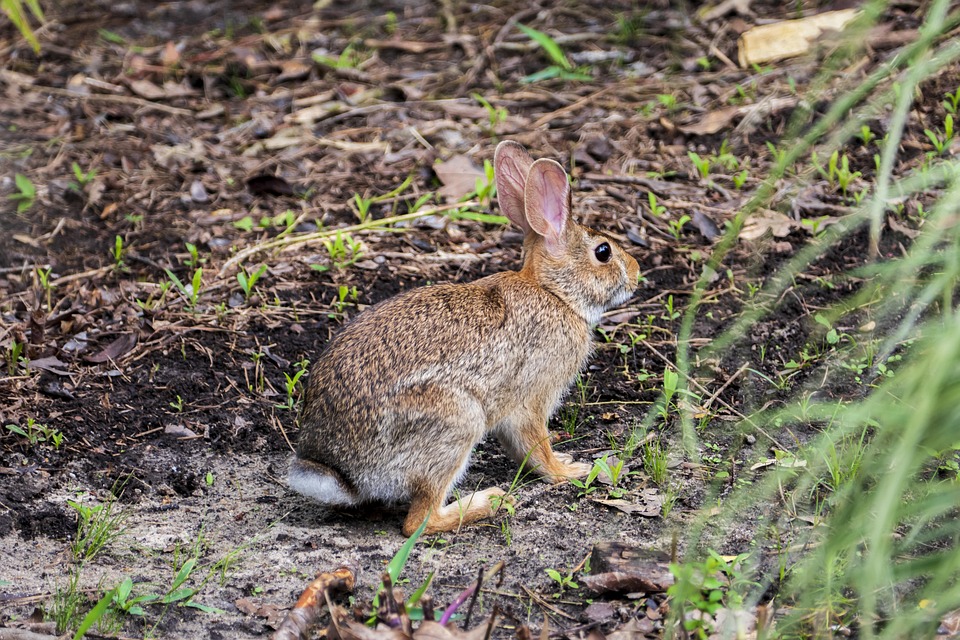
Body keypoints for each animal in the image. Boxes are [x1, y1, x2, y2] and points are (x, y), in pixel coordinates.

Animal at [289, 140, 640, 536]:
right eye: (603, 252)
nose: (637, 272)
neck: (554, 293)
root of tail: (344, 475)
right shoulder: (531, 398)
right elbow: (536, 446)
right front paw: (569, 471)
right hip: (457, 419)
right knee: (419, 521)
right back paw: (489, 502)